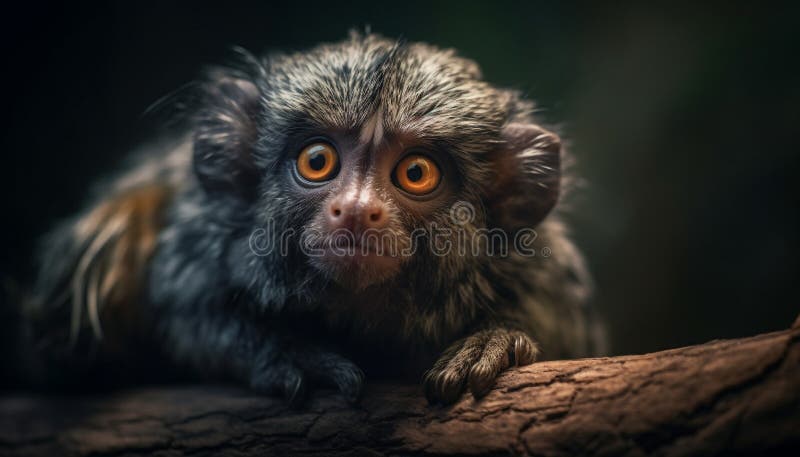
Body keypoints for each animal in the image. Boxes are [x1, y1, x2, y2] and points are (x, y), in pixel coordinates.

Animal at [14, 32, 606, 405]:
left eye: (416, 172)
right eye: (317, 161)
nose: (358, 211)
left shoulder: (546, 276)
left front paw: (497, 339)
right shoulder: (198, 245)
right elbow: (188, 313)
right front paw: (287, 354)